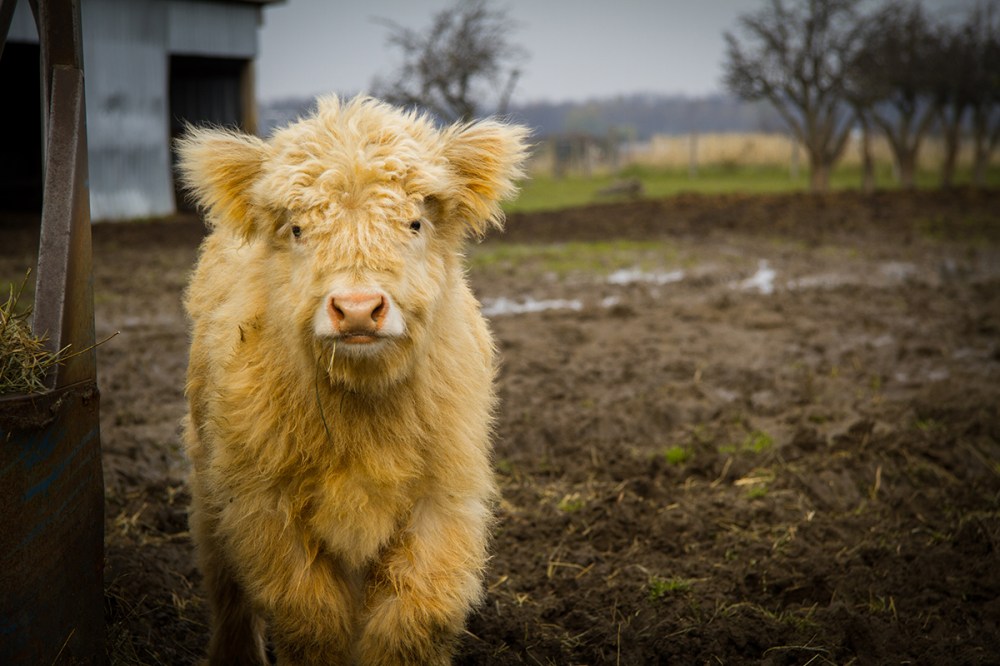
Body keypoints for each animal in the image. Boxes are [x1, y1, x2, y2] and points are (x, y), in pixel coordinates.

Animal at [176, 96, 529, 665]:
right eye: (297, 228)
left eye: (415, 223)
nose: (359, 308)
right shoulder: (265, 509)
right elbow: (313, 621)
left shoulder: (443, 501)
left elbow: (415, 619)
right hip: (208, 481)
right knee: (225, 587)